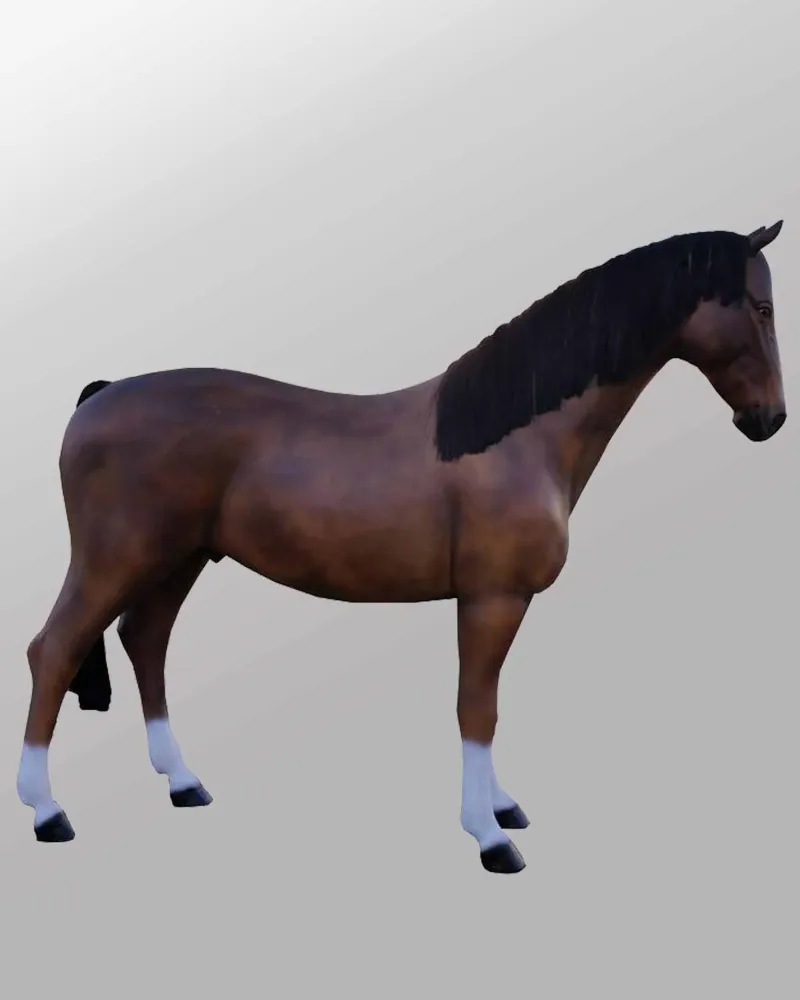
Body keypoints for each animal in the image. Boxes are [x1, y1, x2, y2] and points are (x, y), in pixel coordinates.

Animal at [17, 220, 786, 874]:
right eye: (760, 306)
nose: (770, 419)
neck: (515, 435)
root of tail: (103, 395)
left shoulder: (494, 602)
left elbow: (487, 705)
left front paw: (502, 807)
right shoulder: (492, 599)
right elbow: (477, 708)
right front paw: (490, 837)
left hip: (178, 560)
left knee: (143, 640)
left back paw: (182, 781)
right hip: (116, 559)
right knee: (54, 650)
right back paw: (47, 811)